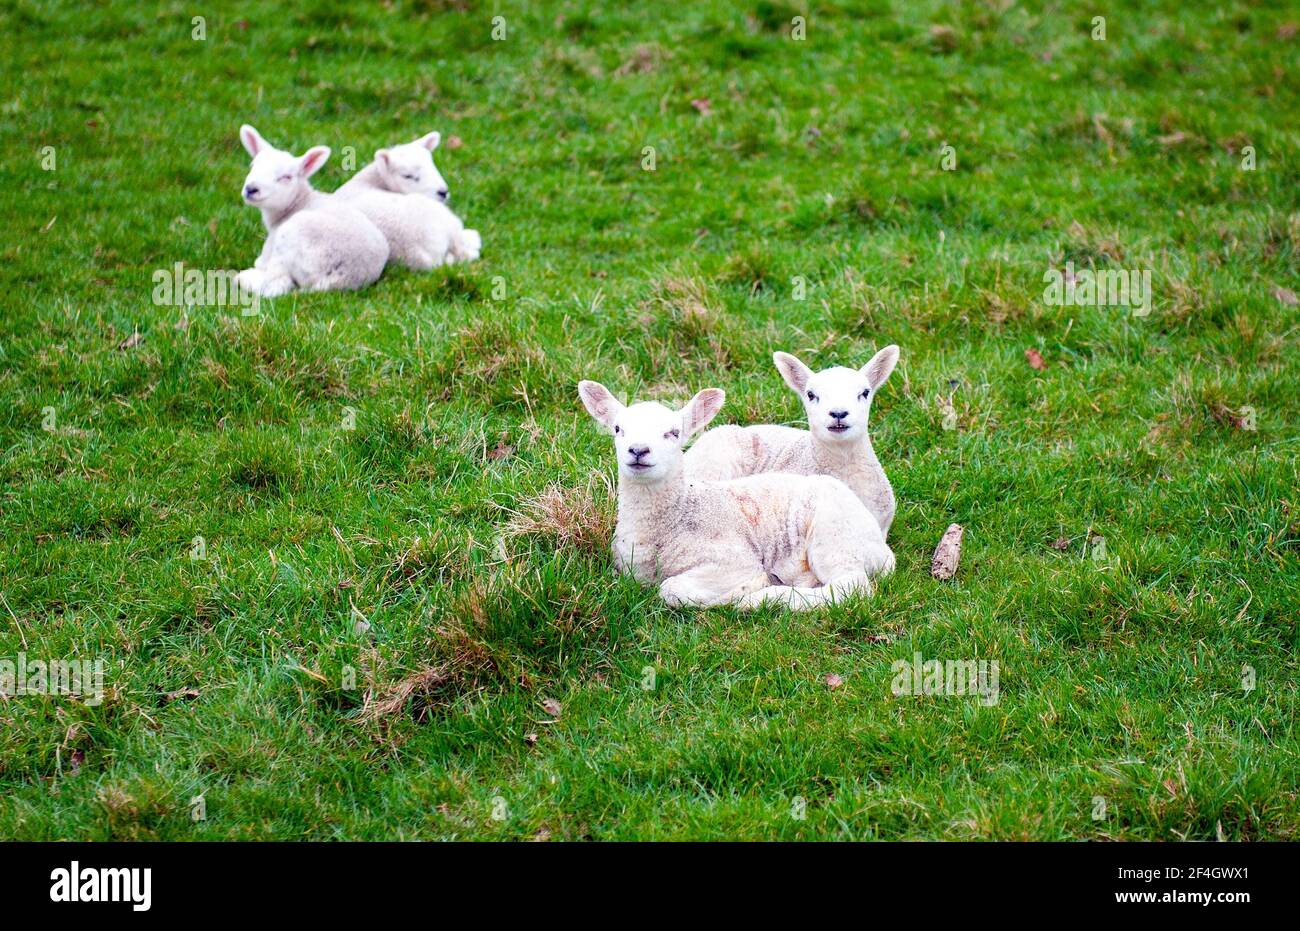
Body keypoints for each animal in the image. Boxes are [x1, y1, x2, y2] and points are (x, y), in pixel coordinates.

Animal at [234, 125, 389, 298]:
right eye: (252, 166)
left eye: (286, 177)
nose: (251, 189)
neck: (298, 202)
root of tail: (339, 278)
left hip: (291, 238)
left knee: (275, 285)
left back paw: (244, 278)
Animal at [334, 131, 481, 267]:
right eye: (407, 176)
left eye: (432, 166)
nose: (443, 192)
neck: (369, 181)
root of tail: (417, 251)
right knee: (460, 246)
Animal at [578, 380, 895, 610]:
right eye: (618, 429)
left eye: (673, 433)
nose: (638, 450)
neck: (678, 517)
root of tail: (882, 548)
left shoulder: (732, 559)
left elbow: (671, 589)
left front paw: (747, 589)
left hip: (836, 534)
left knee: (852, 587)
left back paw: (764, 598)